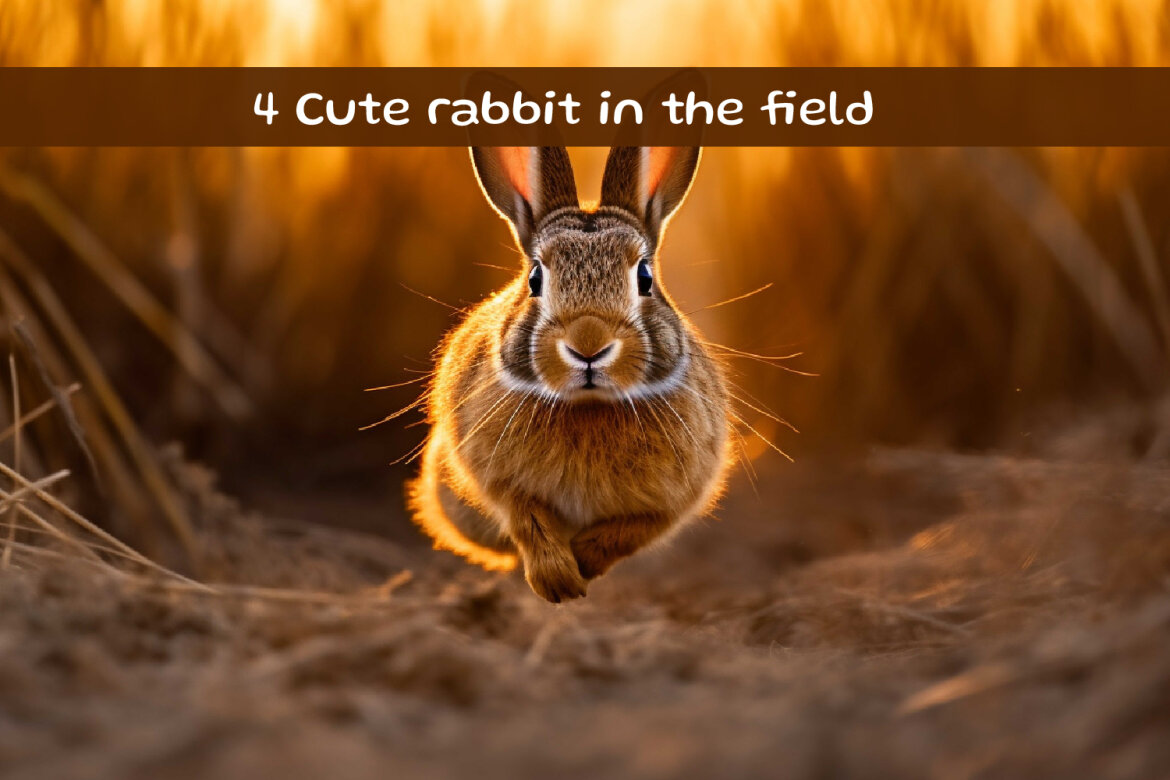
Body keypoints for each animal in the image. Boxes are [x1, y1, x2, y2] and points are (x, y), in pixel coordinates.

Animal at [407, 144, 732, 602]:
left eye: (645, 278)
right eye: (535, 278)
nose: (589, 346)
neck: (588, 405)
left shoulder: (669, 501)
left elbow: (625, 533)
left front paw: (580, 567)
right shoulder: (503, 483)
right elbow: (528, 518)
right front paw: (558, 582)